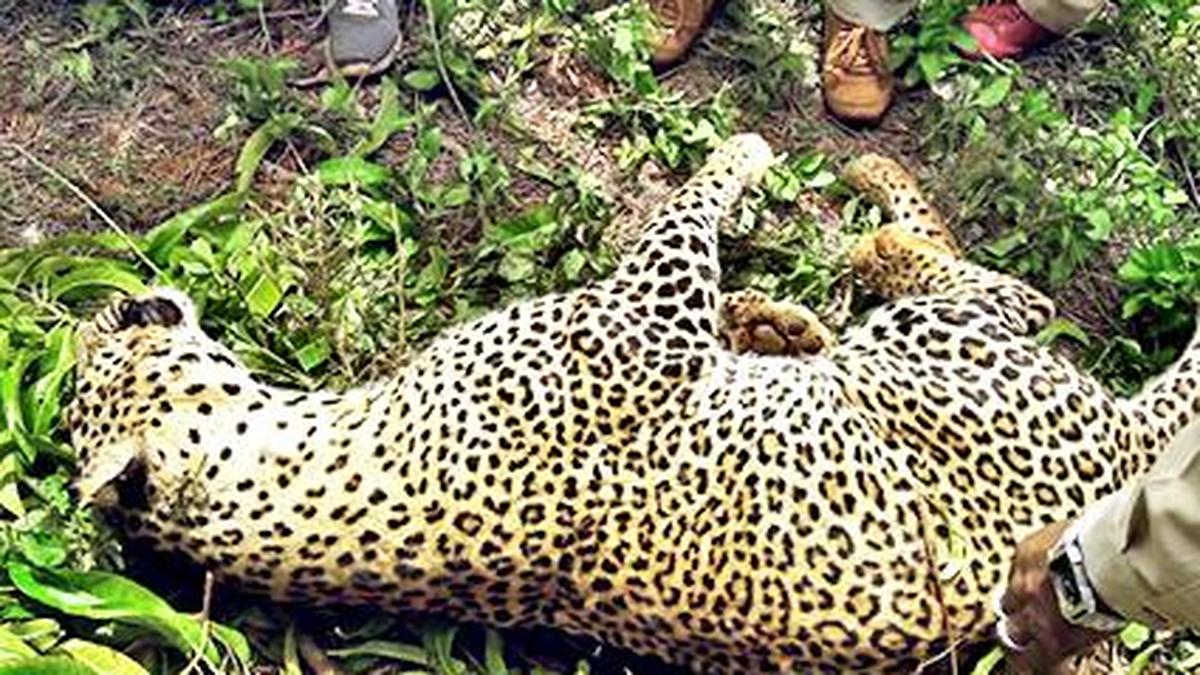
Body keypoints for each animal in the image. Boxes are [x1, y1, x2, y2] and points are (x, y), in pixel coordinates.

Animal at [67, 134, 1200, 674]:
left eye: (102, 345)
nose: (109, 305)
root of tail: (1126, 443)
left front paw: (762, 311)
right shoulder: (646, 310)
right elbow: (689, 205)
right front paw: (744, 157)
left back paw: (797, 295)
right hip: (939, 354)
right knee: (994, 289)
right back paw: (865, 239)